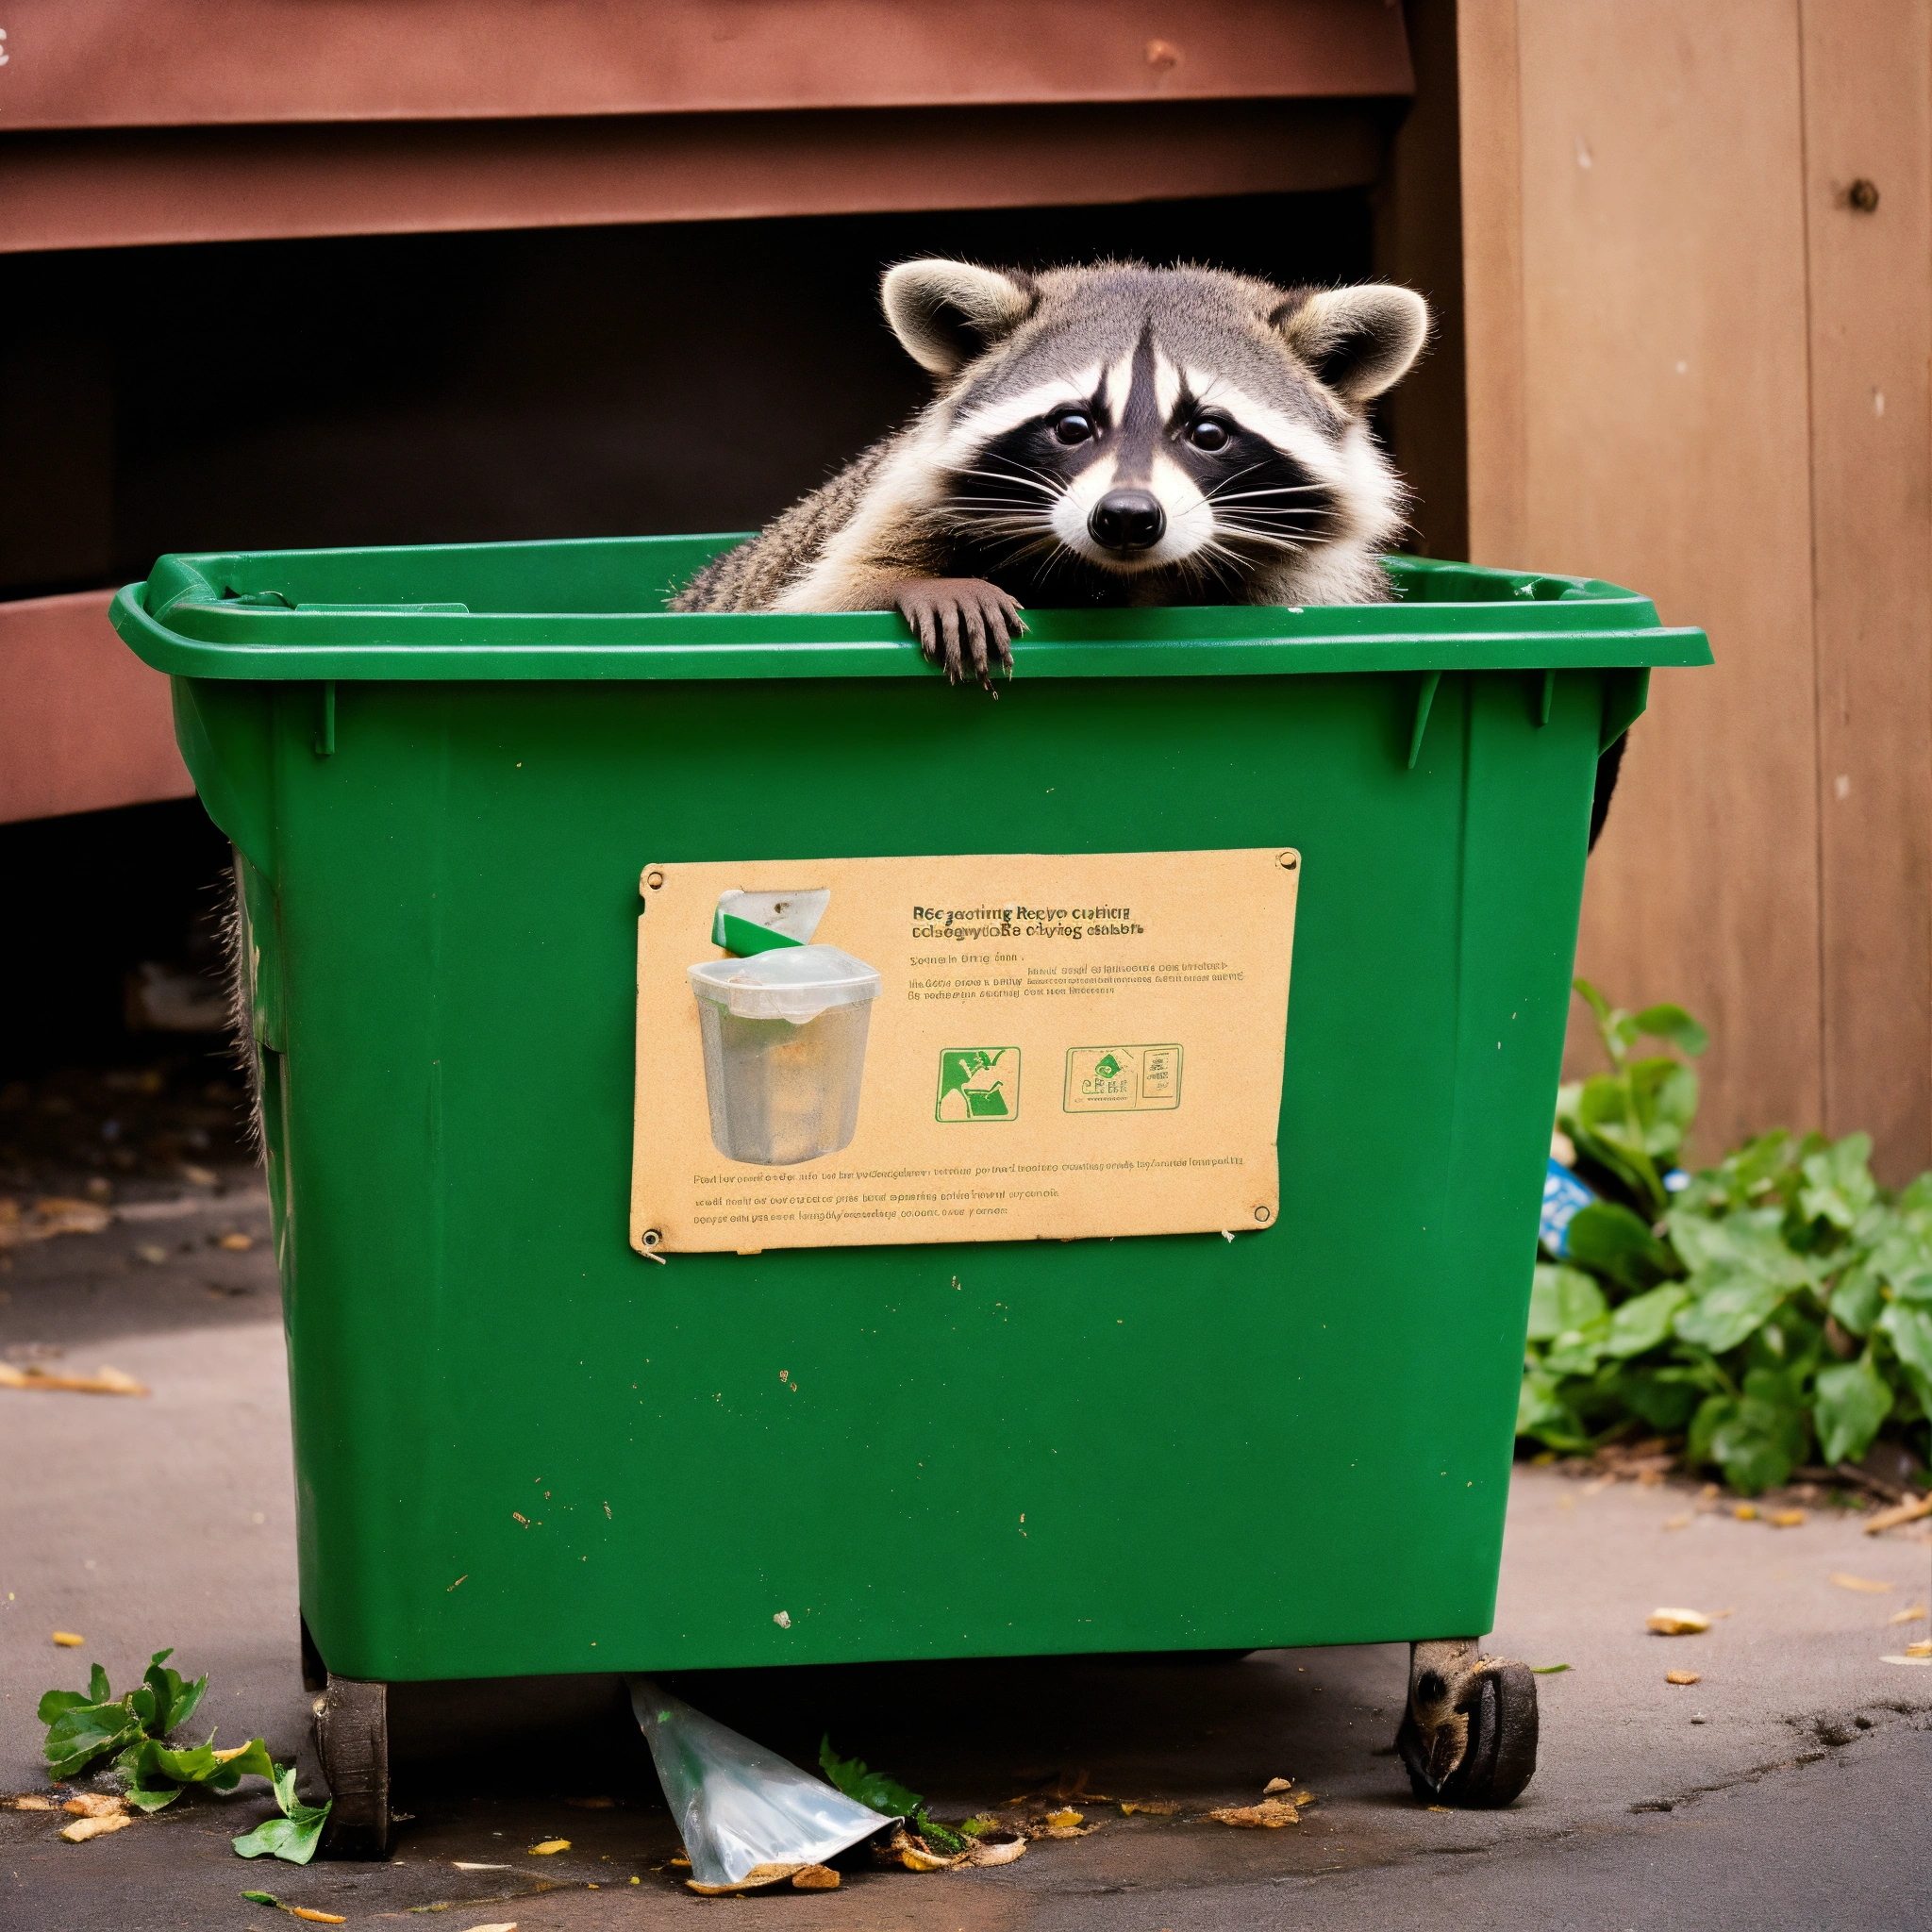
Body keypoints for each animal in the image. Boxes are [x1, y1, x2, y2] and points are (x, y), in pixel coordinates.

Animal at [672, 258, 1431, 682]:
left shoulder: (1317, 579)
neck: (1122, 580)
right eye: (1073, 426)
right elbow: (827, 595)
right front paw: (926, 586)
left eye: (1209, 432)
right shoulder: (889, 511)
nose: (1126, 517)